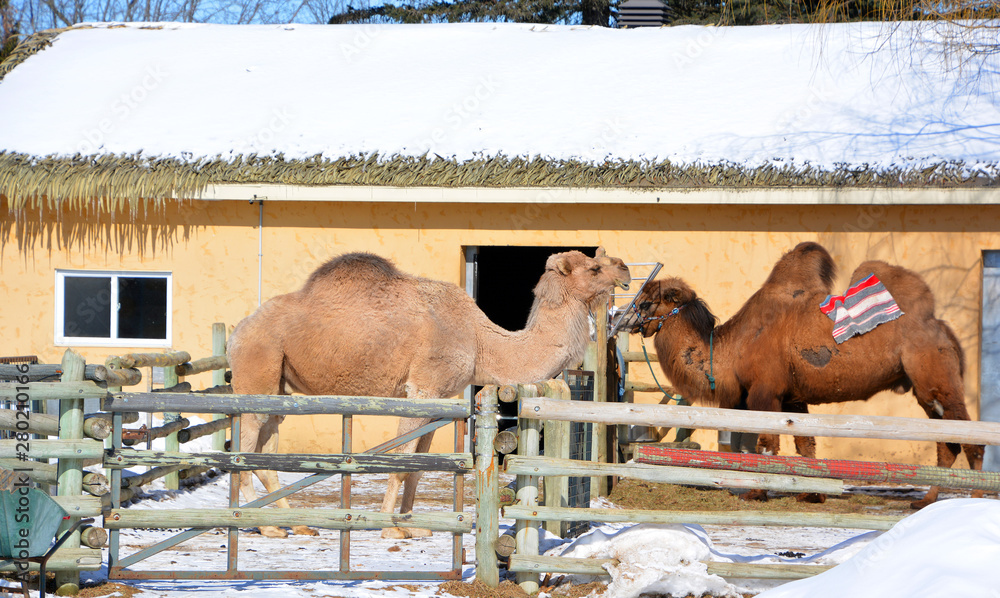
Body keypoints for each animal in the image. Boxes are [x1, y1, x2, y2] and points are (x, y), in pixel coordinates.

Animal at [227, 248, 630, 538]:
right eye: (594, 268)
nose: (625, 269)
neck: (479, 340)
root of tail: (238, 330)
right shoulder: (421, 388)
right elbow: (402, 462)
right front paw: (390, 529)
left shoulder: (441, 398)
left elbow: (419, 467)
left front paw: (412, 526)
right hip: (257, 370)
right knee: (245, 446)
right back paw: (262, 526)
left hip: (279, 386)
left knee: (266, 444)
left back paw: (293, 524)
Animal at [625, 242, 983, 508]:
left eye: (647, 302)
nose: (623, 317)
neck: (730, 349)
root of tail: (941, 326)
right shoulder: (792, 397)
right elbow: (805, 444)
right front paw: (812, 494)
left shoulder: (765, 391)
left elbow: (767, 444)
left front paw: (757, 492)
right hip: (925, 387)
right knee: (948, 442)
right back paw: (925, 500)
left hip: (936, 375)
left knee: (970, 438)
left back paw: (977, 495)